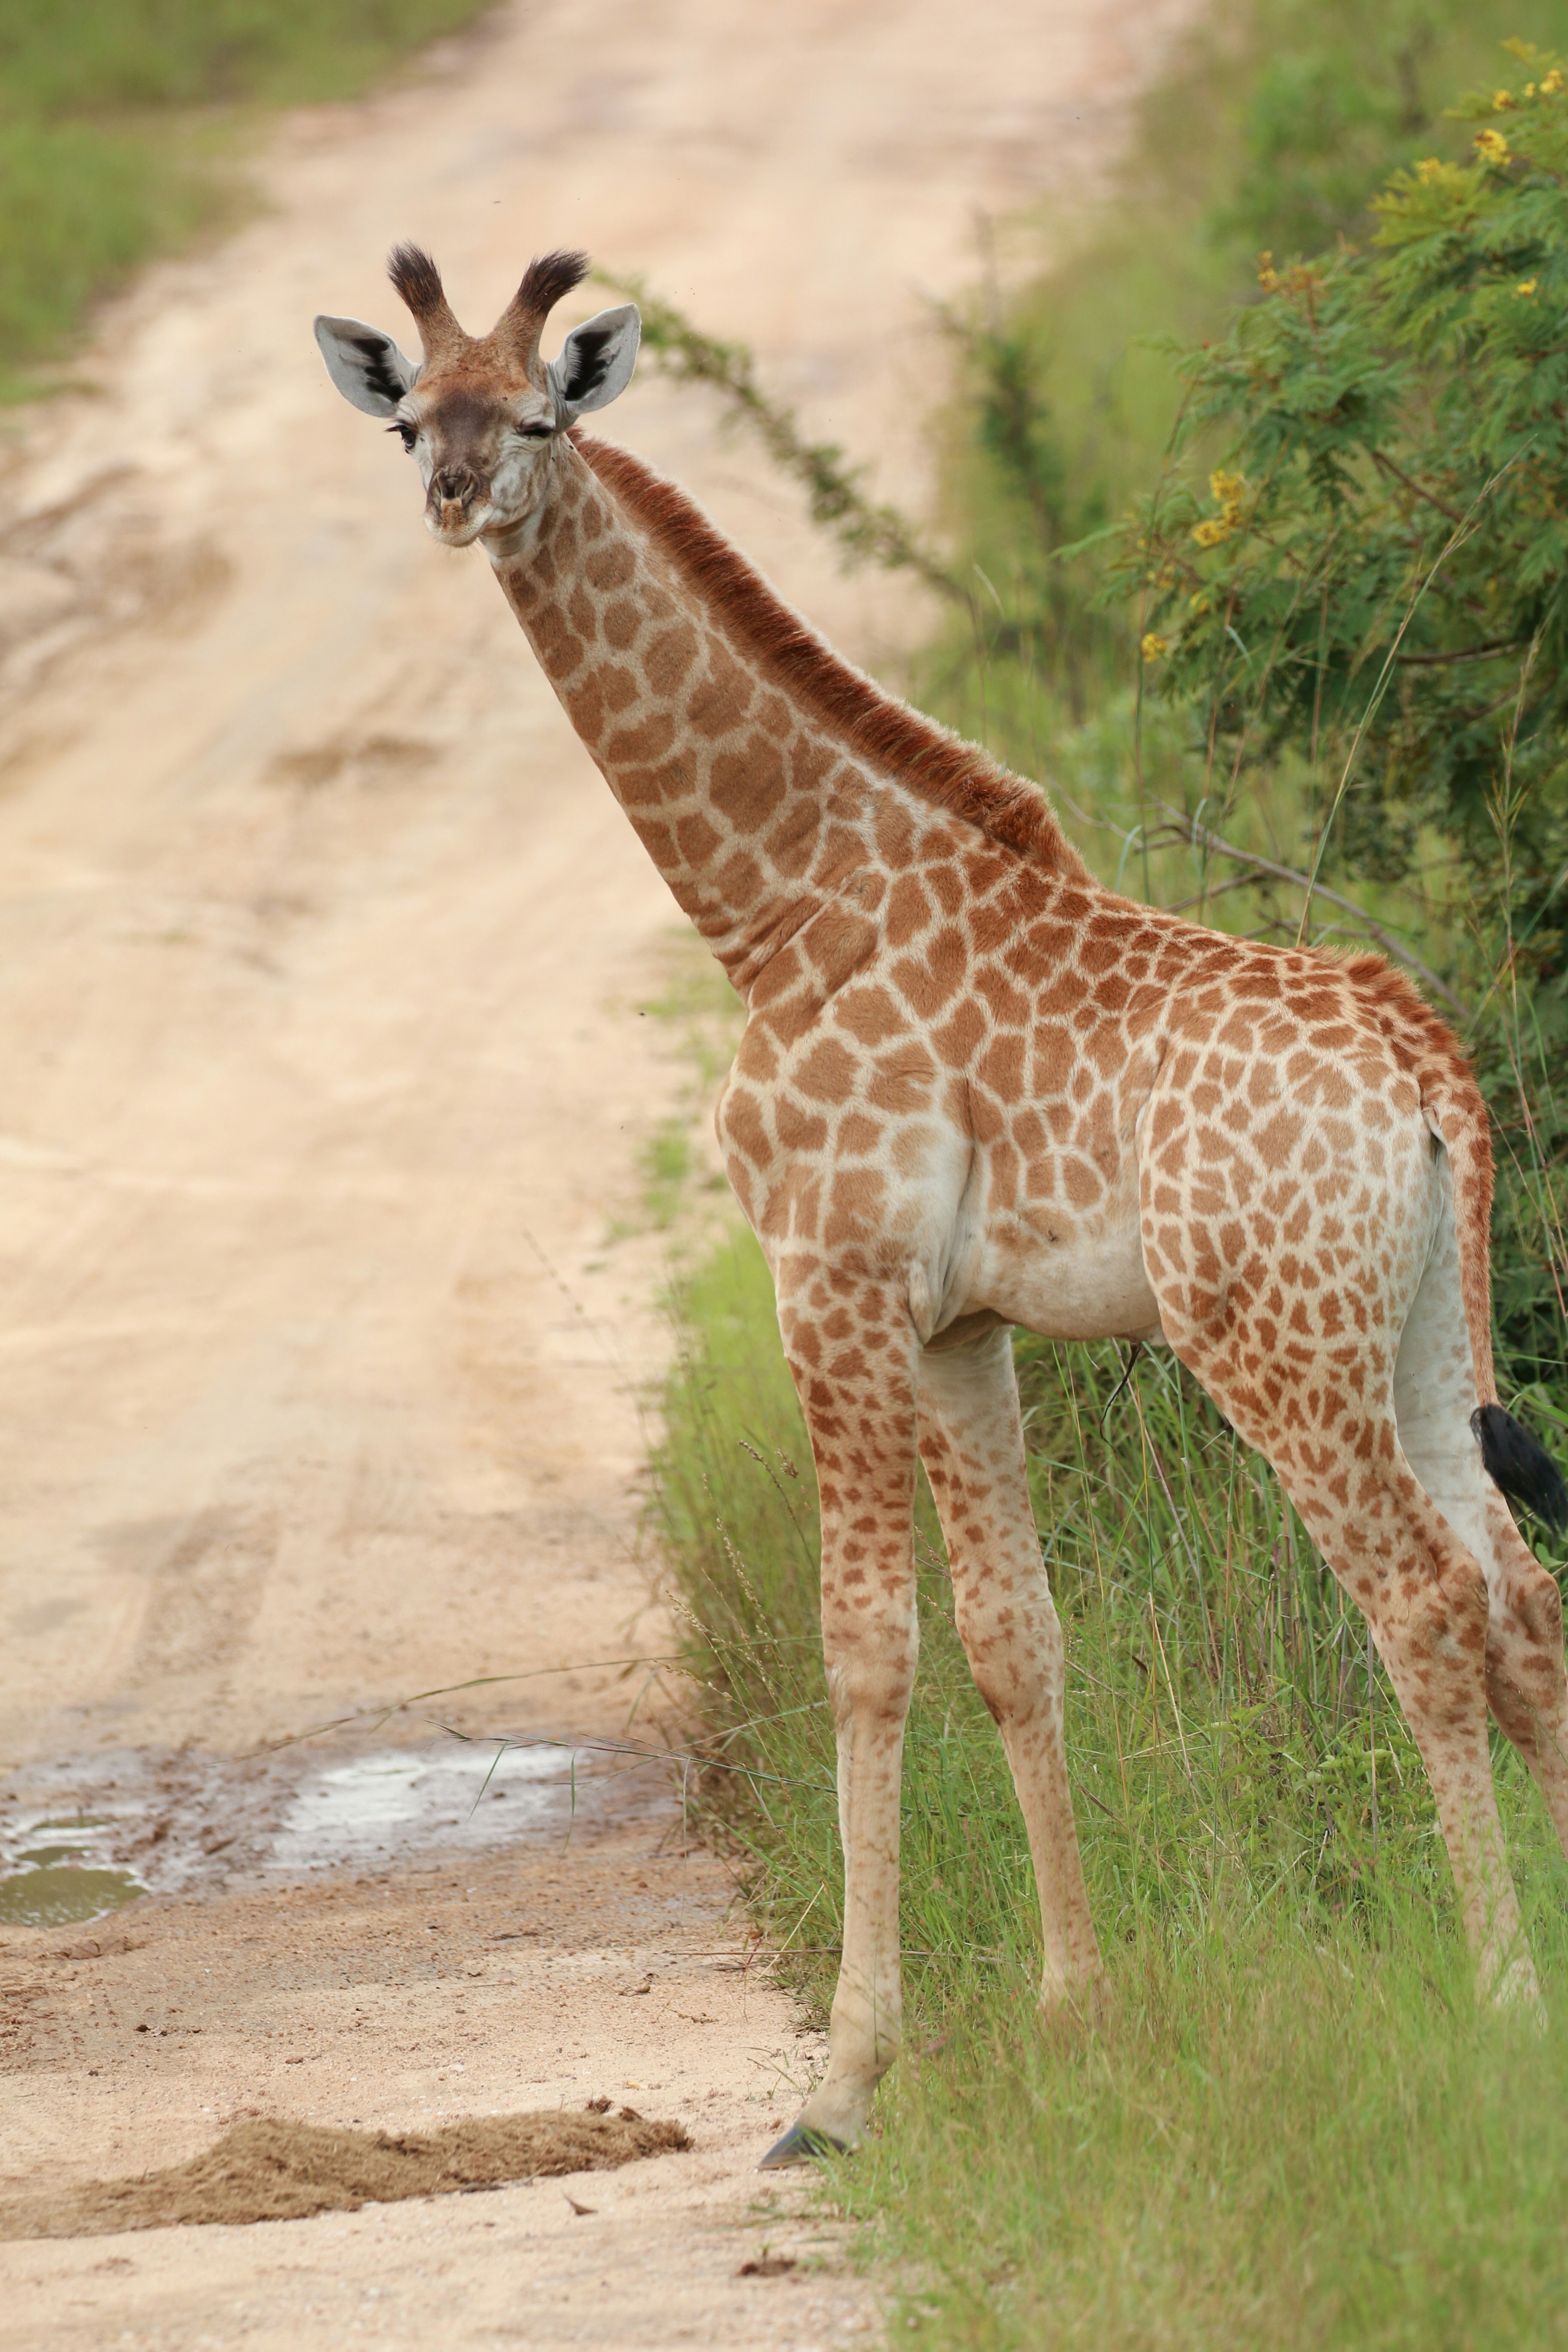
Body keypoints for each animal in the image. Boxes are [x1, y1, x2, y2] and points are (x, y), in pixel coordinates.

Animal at [316, 248, 1568, 2168]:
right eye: (409, 422)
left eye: (535, 418)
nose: (455, 498)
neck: (774, 901)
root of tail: (1416, 1054)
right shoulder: (965, 1324)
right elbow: (1013, 1641)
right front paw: (1076, 2020)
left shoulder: (827, 1278)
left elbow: (866, 1646)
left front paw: (838, 2085)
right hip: (1419, 1329)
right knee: (1523, 1602)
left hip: (1270, 1338)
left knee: (1425, 1607)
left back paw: (1504, 2006)